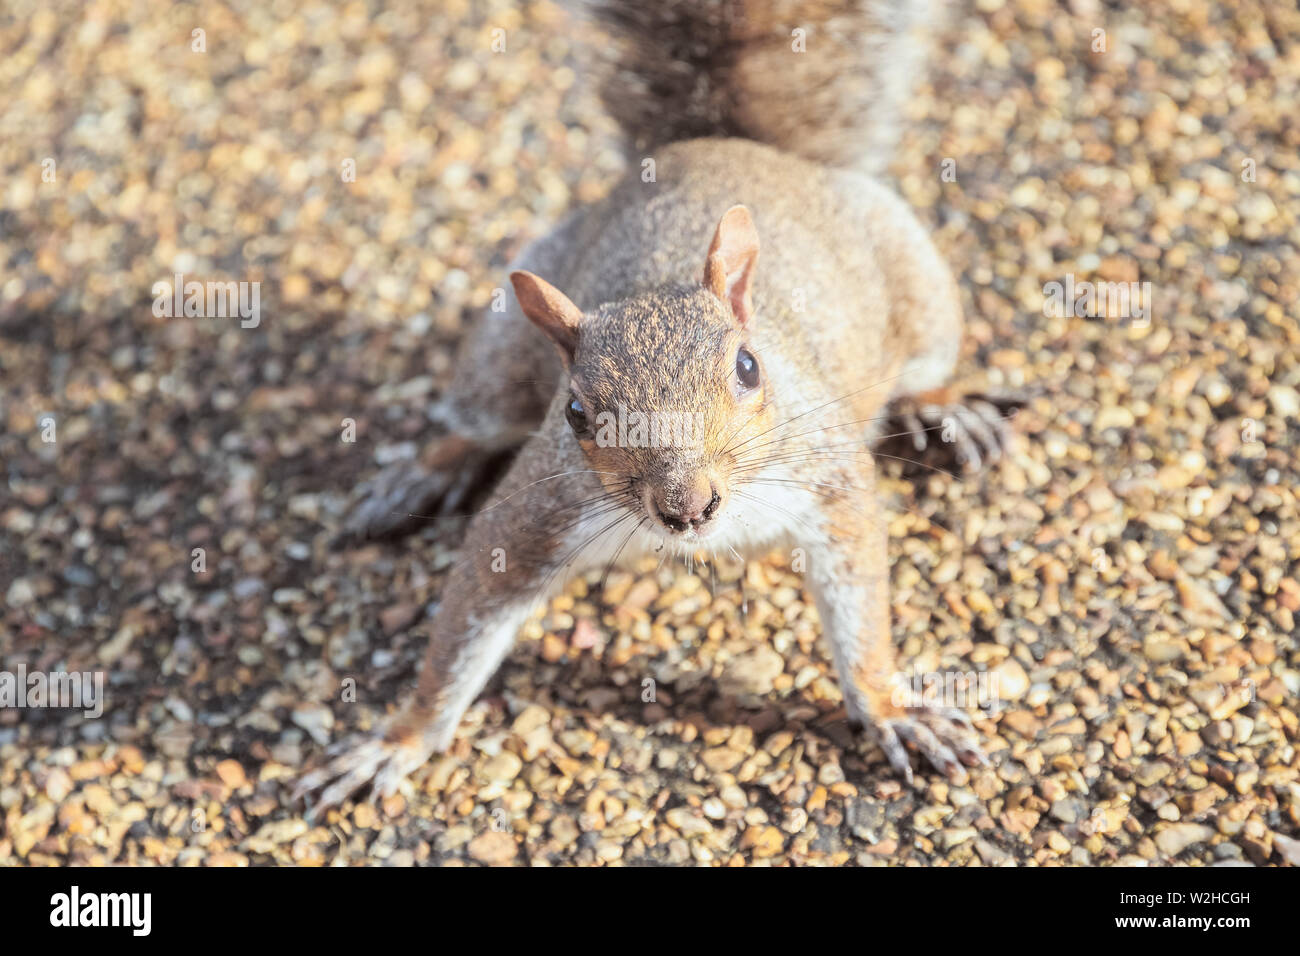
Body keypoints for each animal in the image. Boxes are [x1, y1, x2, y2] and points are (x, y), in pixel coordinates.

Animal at [297, 0, 1021, 813]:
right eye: (576, 414)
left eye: (749, 367)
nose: (687, 506)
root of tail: (716, 143)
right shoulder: (538, 513)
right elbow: (464, 627)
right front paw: (401, 739)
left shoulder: (829, 476)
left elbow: (860, 605)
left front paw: (893, 709)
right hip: (500, 352)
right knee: (477, 422)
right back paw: (421, 475)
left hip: (918, 286)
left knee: (925, 364)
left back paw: (946, 409)